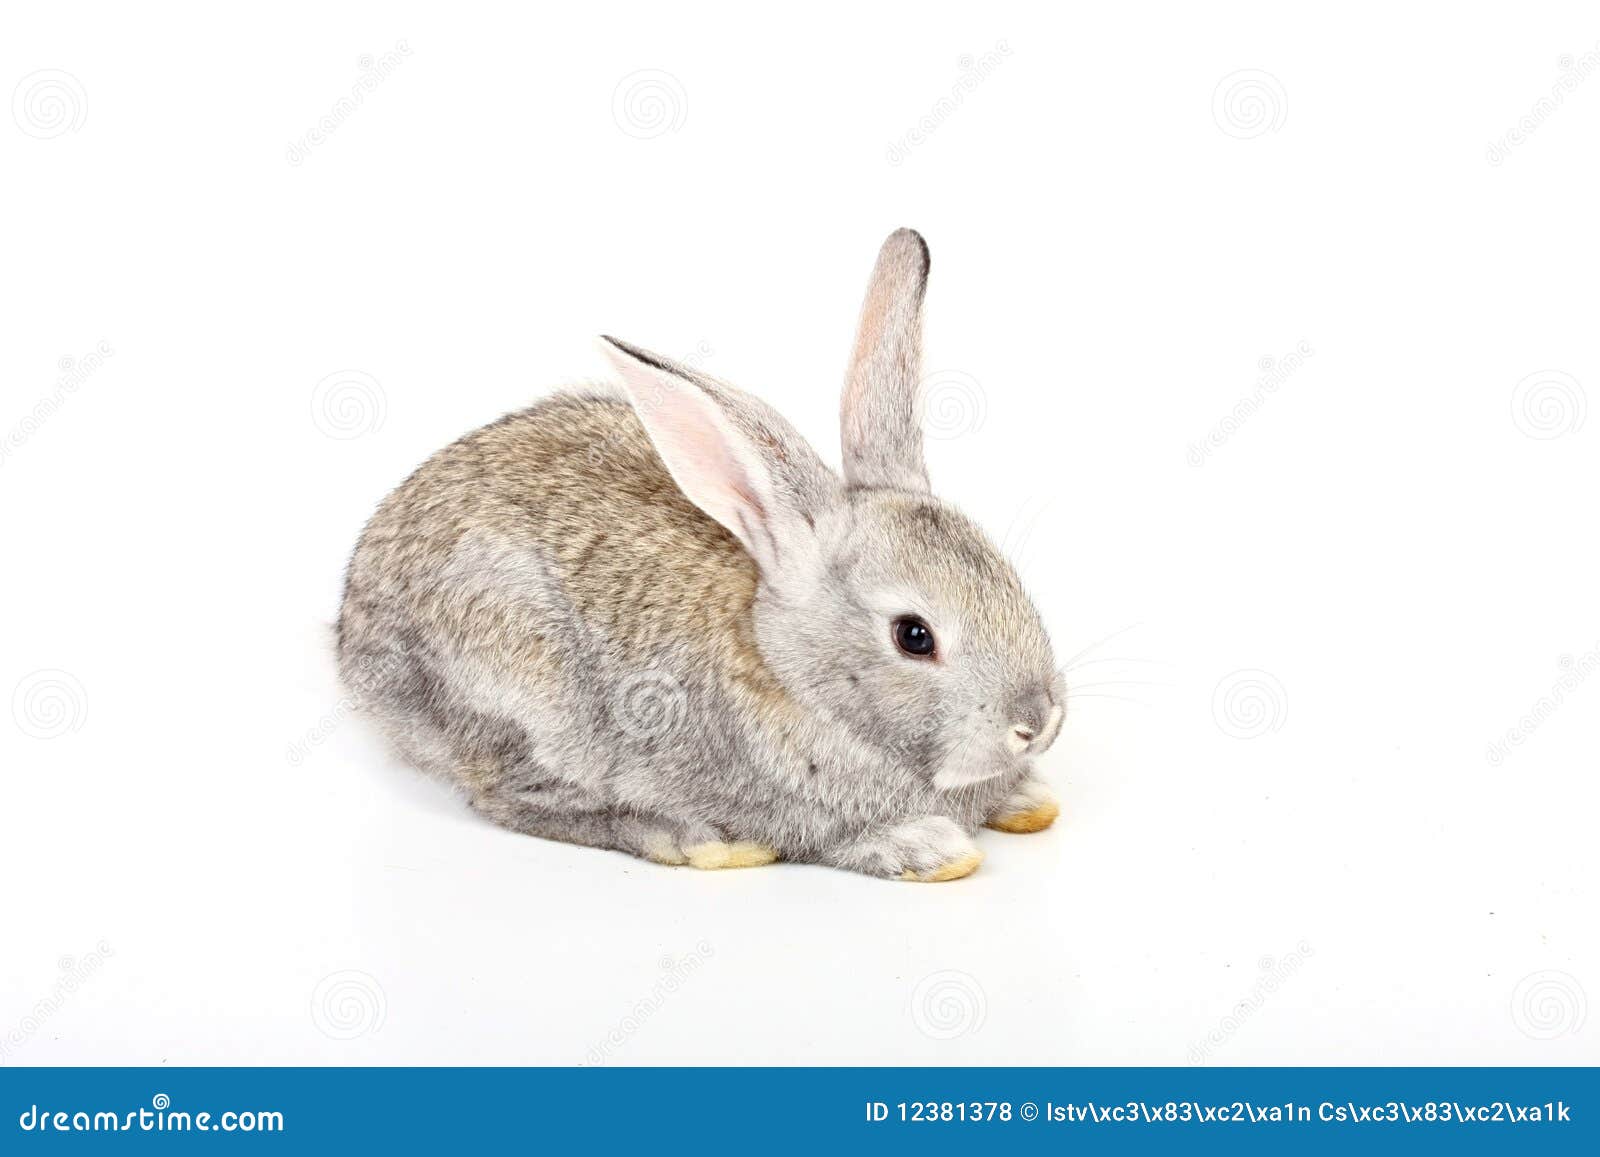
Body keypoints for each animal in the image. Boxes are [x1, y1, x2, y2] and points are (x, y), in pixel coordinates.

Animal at [336, 228, 1065, 881]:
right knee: (519, 799)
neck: (788, 673)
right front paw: (929, 849)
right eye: (914, 636)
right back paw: (697, 842)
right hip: (524, 694)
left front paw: (1027, 797)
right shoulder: (794, 807)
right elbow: (843, 837)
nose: (1037, 721)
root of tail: (351, 631)